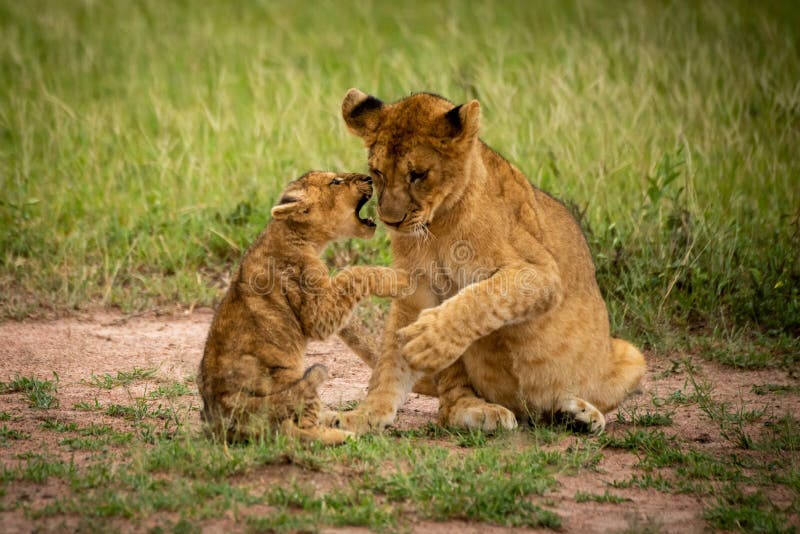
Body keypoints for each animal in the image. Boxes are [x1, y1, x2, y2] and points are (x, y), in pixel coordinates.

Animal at [197, 171, 408, 444]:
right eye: (335, 182)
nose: (369, 178)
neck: (293, 233)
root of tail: (220, 422)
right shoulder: (315, 313)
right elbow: (351, 274)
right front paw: (399, 280)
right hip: (291, 379)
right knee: (293, 431)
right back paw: (342, 434)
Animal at [335, 89, 646, 434]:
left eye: (418, 174)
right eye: (377, 173)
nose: (390, 220)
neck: (437, 225)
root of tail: (528, 412)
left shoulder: (540, 273)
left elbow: (483, 296)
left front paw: (427, 338)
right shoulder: (417, 294)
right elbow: (390, 366)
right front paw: (364, 416)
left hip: (632, 355)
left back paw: (578, 413)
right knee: (450, 406)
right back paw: (482, 411)